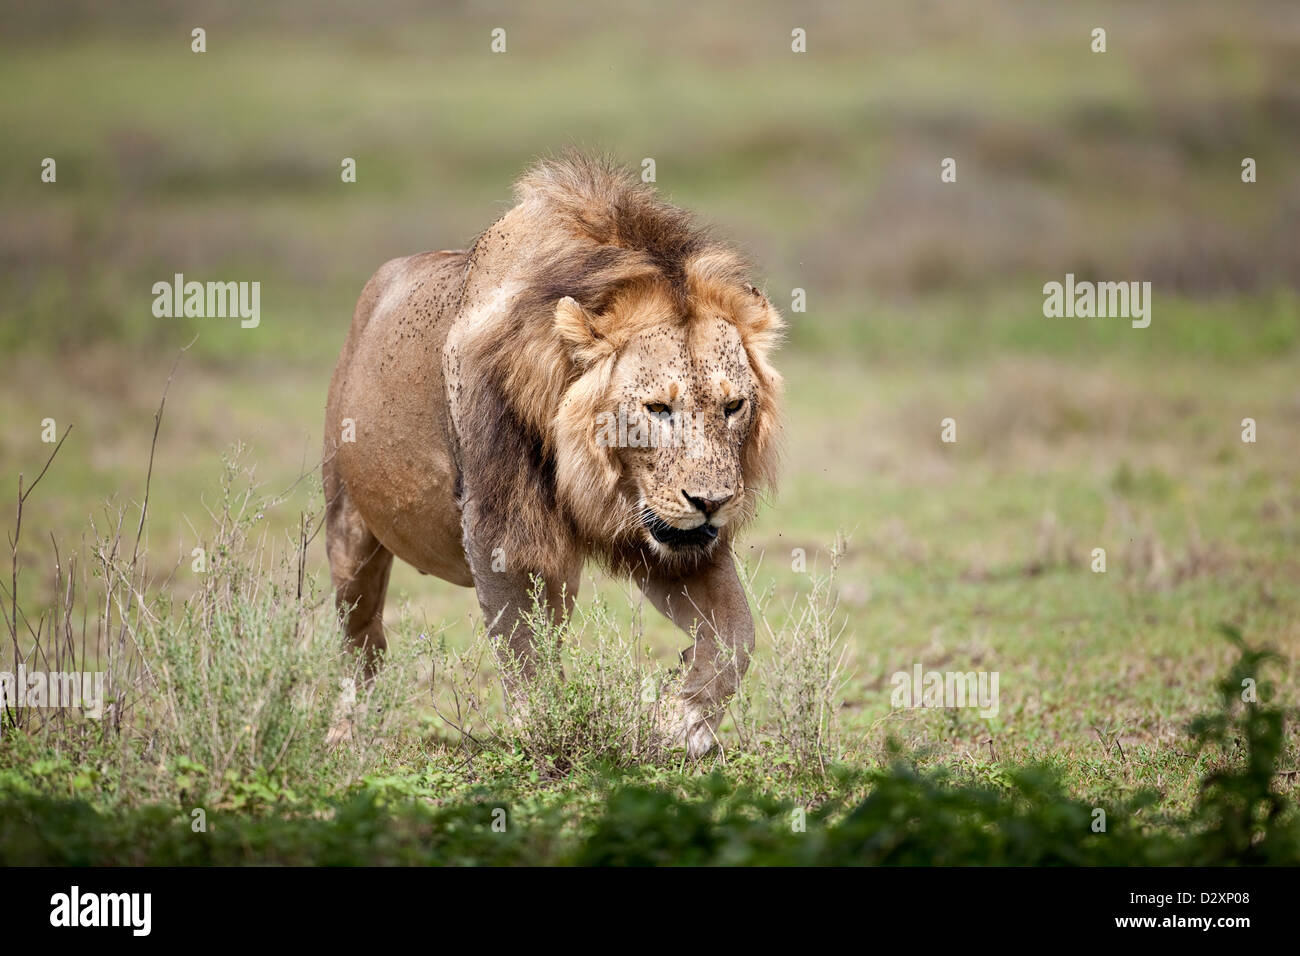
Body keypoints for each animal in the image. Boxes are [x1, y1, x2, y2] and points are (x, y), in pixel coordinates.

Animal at [323, 152, 783, 756]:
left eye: (733, 406)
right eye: (657, 408)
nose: (713, 501)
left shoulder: (674, 543)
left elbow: (736, 636)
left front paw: (676, 723)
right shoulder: (503, 533)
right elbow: (525, 649)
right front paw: (544, 734)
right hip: (348, 519)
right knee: (361, 636)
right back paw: (348, 732)